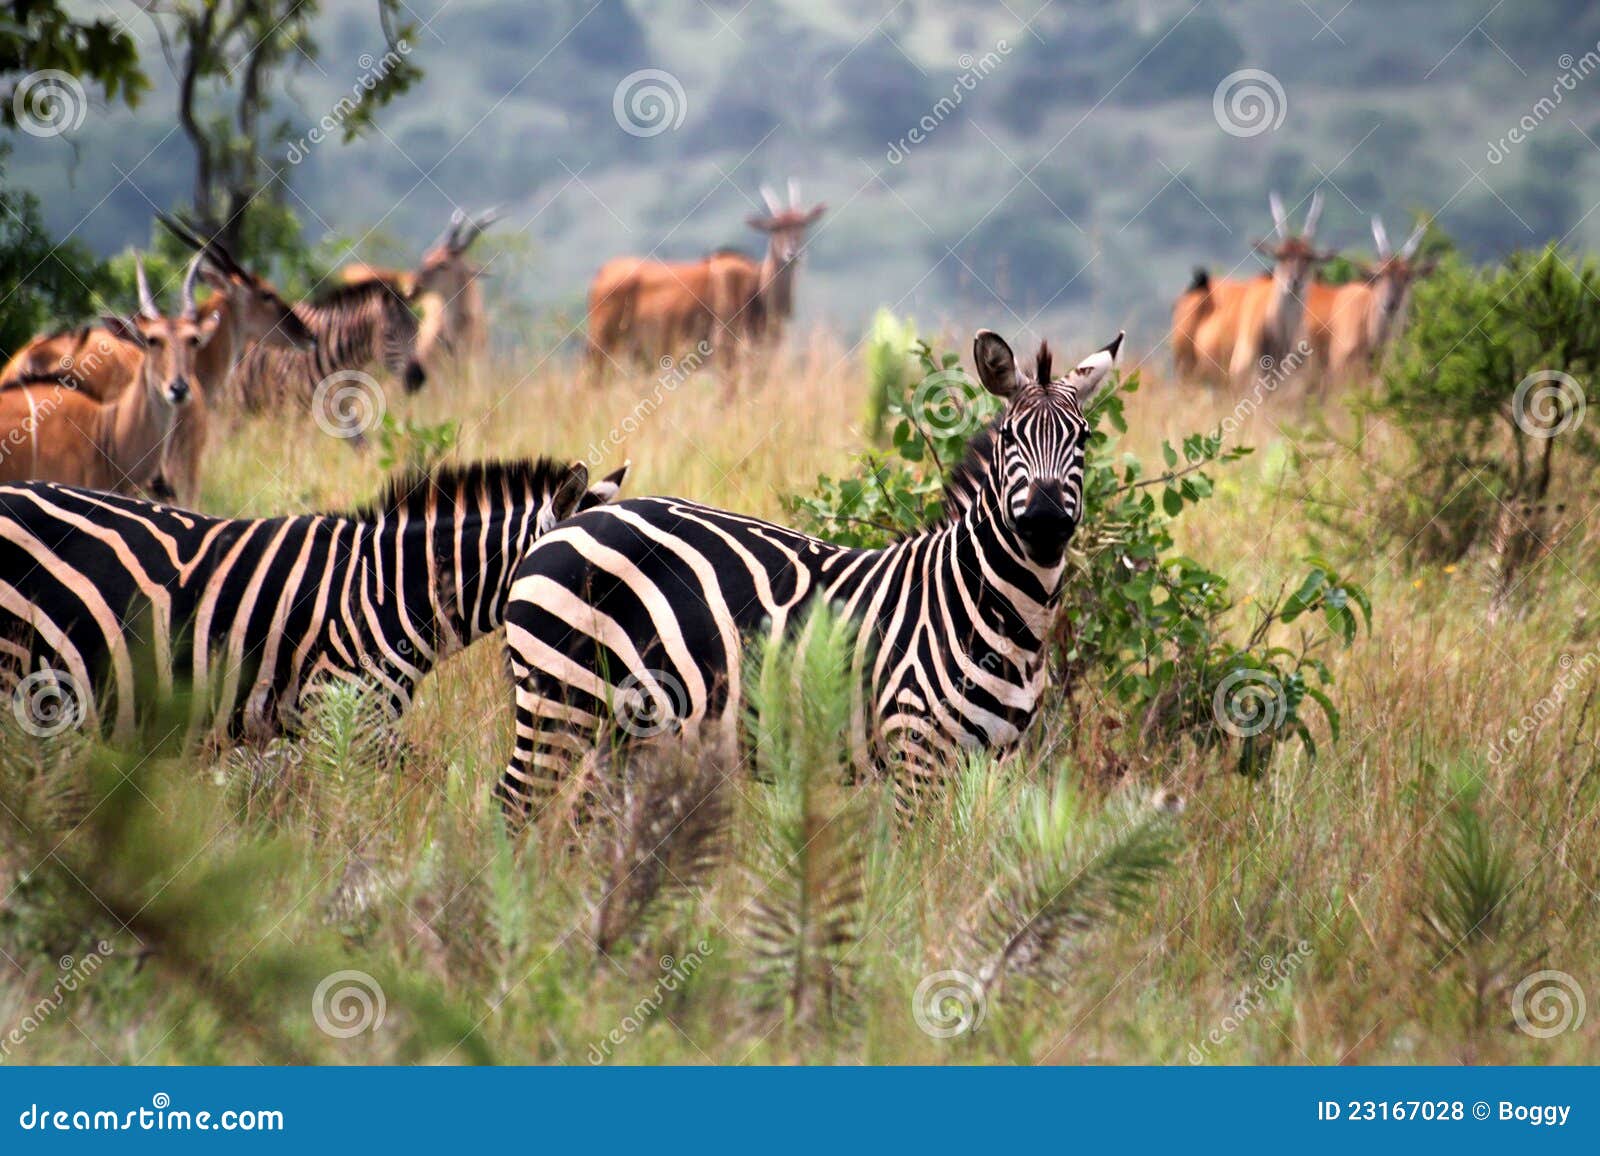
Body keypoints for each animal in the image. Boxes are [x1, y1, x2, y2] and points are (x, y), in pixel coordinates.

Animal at [227, 279, 426, 440]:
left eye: (417, 329)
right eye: (388, 334)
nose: (417, 378)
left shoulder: (343, 411)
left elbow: (364, 449)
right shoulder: (292, 411)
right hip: (240, 406)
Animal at [497, 329, 1123, 816]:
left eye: (1084, 439)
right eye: (1012, 439)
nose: (1045, 520)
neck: (992, 609)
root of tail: (567, 522)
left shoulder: (998, 760)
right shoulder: (914, 753)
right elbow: (914, 875)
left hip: (625, 723)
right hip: (559, 694)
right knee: (514, 804)